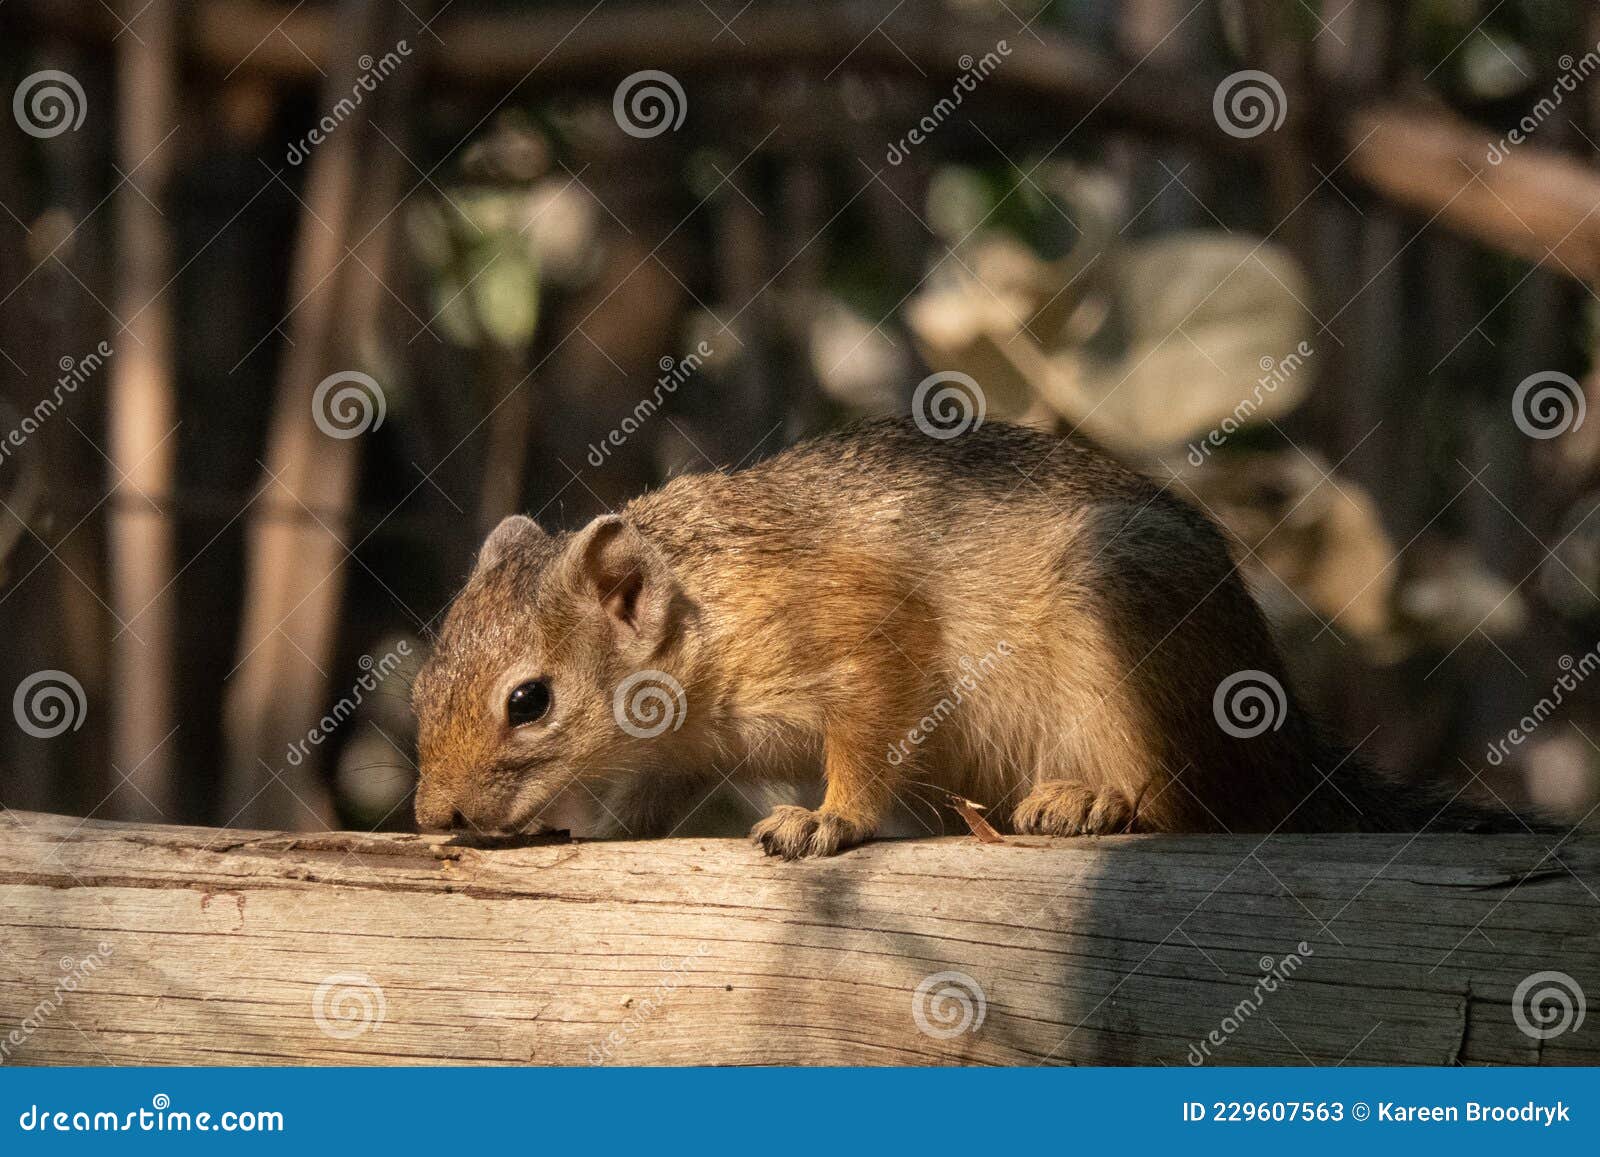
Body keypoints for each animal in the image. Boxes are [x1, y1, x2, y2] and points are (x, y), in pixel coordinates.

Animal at [411, 417, 1536, 857]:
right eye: (422, 687)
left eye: (529, 700)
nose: (432, 817)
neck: (707, 600)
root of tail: (1293, 743)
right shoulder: (683, 747)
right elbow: (648, 796)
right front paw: (597, 834)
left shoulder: (863, 630)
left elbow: (869, 735)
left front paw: (827, 820)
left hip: (1137, 649)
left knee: (1197, 806)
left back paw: (1093, 800)